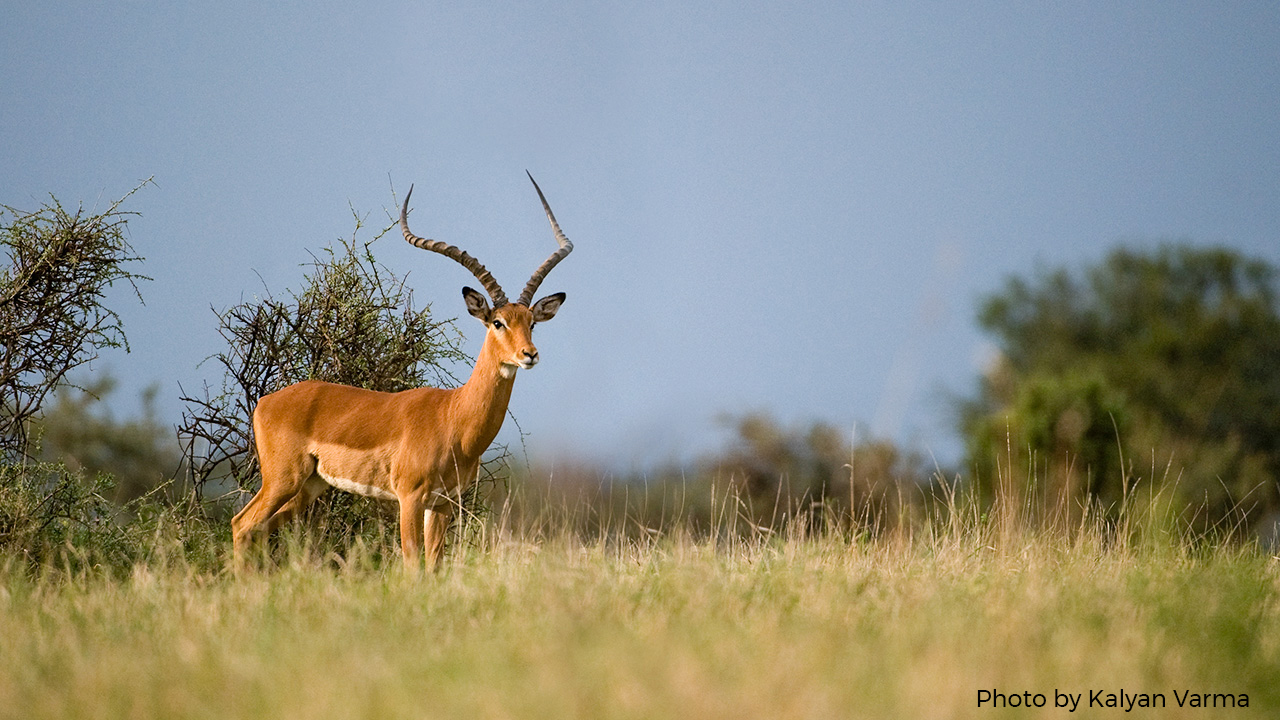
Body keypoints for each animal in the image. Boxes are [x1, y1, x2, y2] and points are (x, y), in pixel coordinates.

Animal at [231, 173, 573, 570]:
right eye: (498, 322)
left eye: (531, 322)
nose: (529, 354)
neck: (453, 416)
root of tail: (266, 401)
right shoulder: (409, 498)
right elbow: (412, 565)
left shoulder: (442, 504)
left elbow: (435, 565)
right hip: (282, 480)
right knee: (241, 524)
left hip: (310, 485)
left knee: (255, 530)